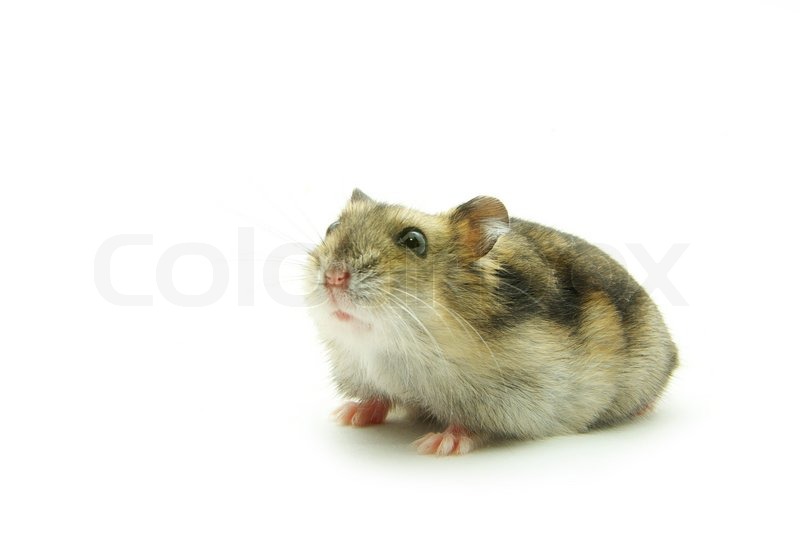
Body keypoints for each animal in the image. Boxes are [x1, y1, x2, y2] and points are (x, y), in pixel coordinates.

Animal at [305, 189, 678, 455]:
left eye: (414, 241)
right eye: (331, 228)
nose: (334, 277)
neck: (393, 346)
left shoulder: (513, 397)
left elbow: (473, 425)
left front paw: (437, 445)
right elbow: (377, 398)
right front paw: (347, 415)